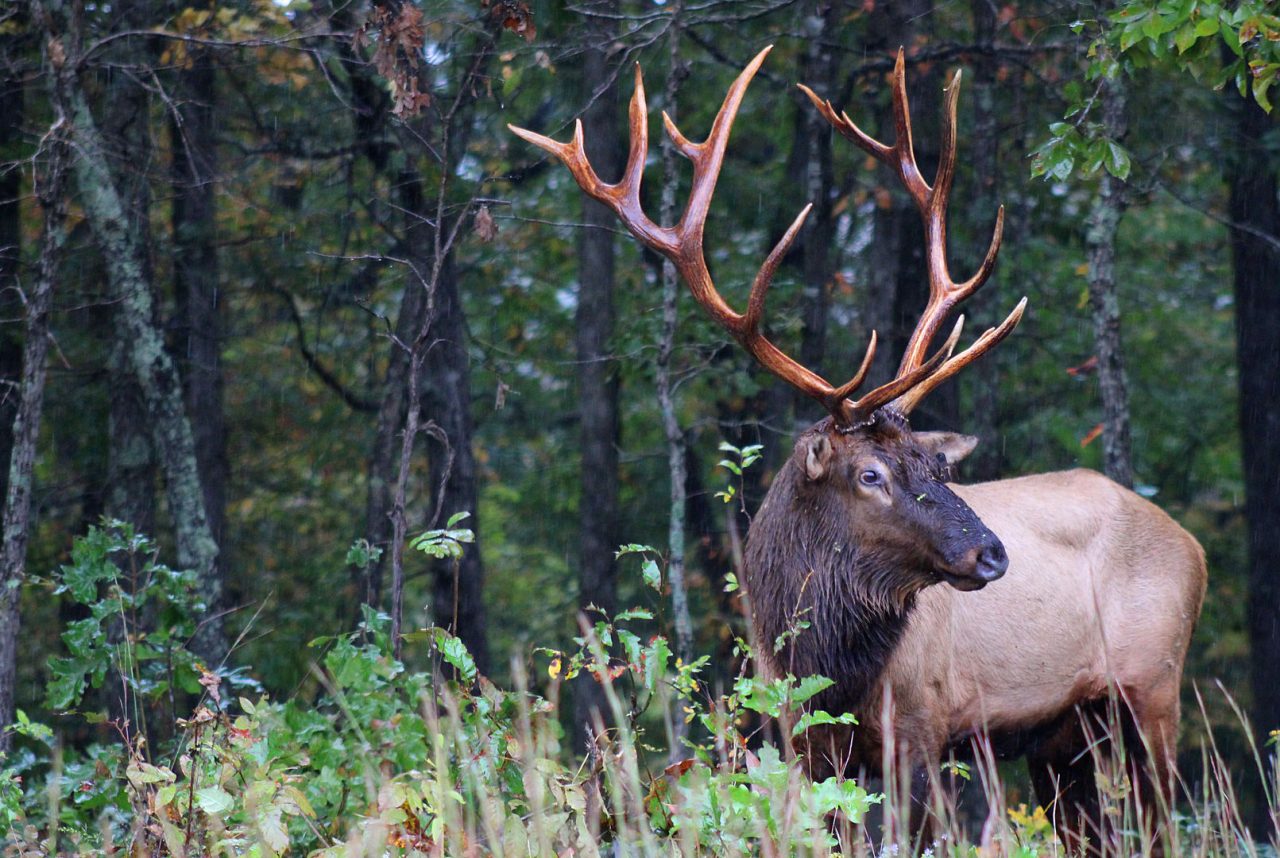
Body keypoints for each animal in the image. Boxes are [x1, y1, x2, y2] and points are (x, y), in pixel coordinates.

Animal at [511, 46, 1207, 853]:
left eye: (937, 465)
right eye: (871, 474)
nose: (992, 553)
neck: (830, 663)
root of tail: (1192, 545)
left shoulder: (926, 724)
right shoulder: (803, 740)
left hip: (1154, 685)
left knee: (1166, 818)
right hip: (1063, 736)